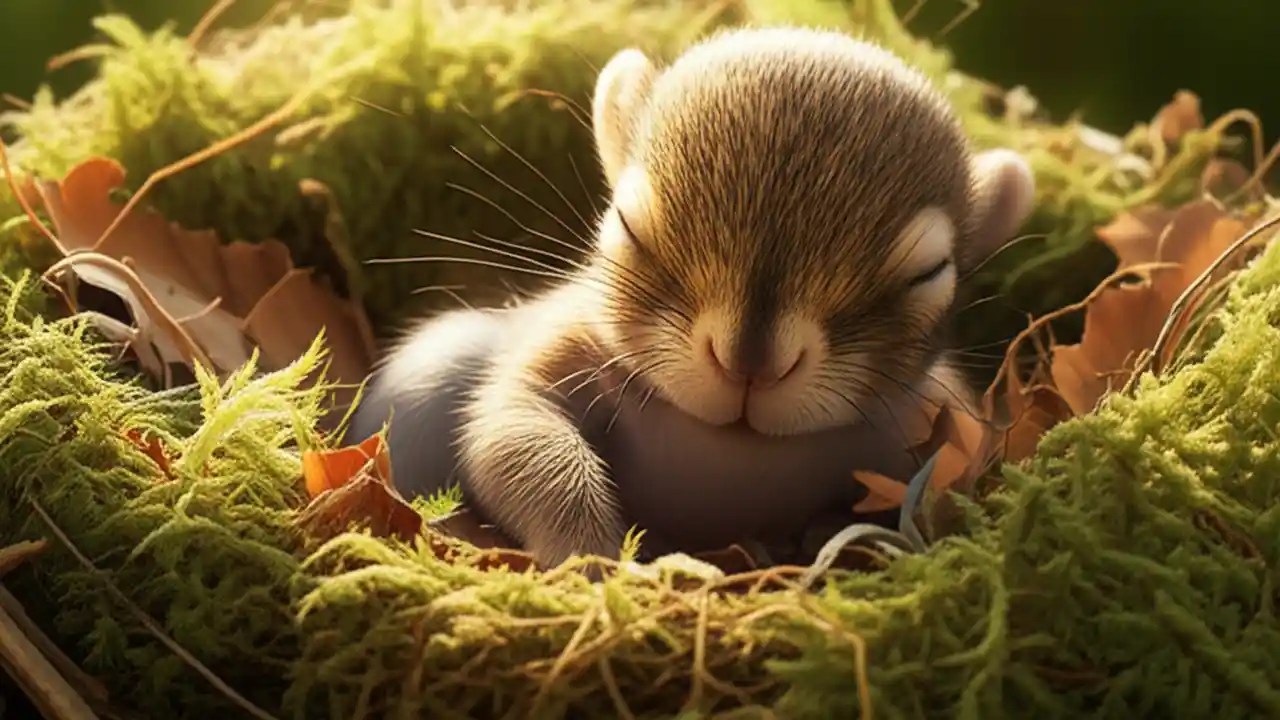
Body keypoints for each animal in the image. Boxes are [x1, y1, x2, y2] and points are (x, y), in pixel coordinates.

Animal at [349, 26, 1035, 569]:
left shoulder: (942, 423)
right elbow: (517, 434)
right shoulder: (566, 350)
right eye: (626, 222)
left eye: (931, 272)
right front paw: (593, 556)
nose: (749, 363)